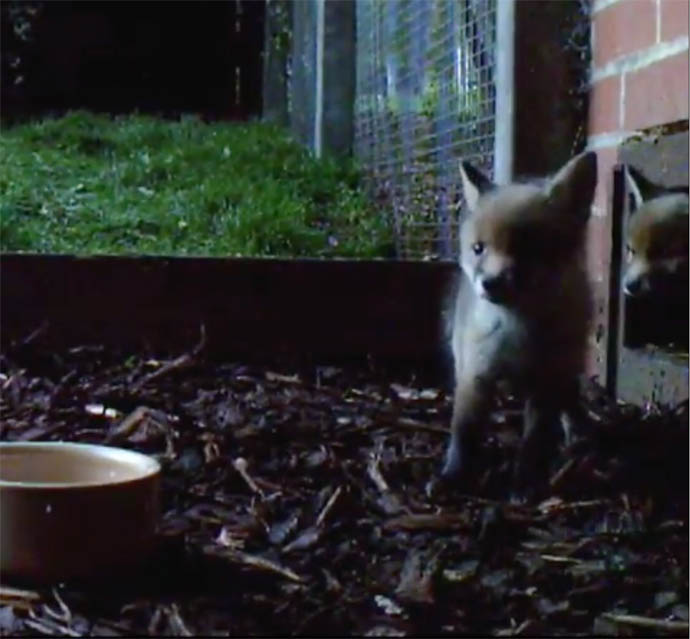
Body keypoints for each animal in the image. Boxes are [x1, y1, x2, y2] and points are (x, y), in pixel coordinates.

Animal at [439, 151, 597, 501]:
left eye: (529, 248)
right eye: (479, 248)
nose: (490, 283)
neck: (518, 334)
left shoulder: (546, 381)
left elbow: (535, 440)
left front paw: (525, 481)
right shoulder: (476, 374)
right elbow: (464, 432)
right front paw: (453, 477)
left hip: (567, 364)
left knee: (570, 398)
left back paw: (578, 432)